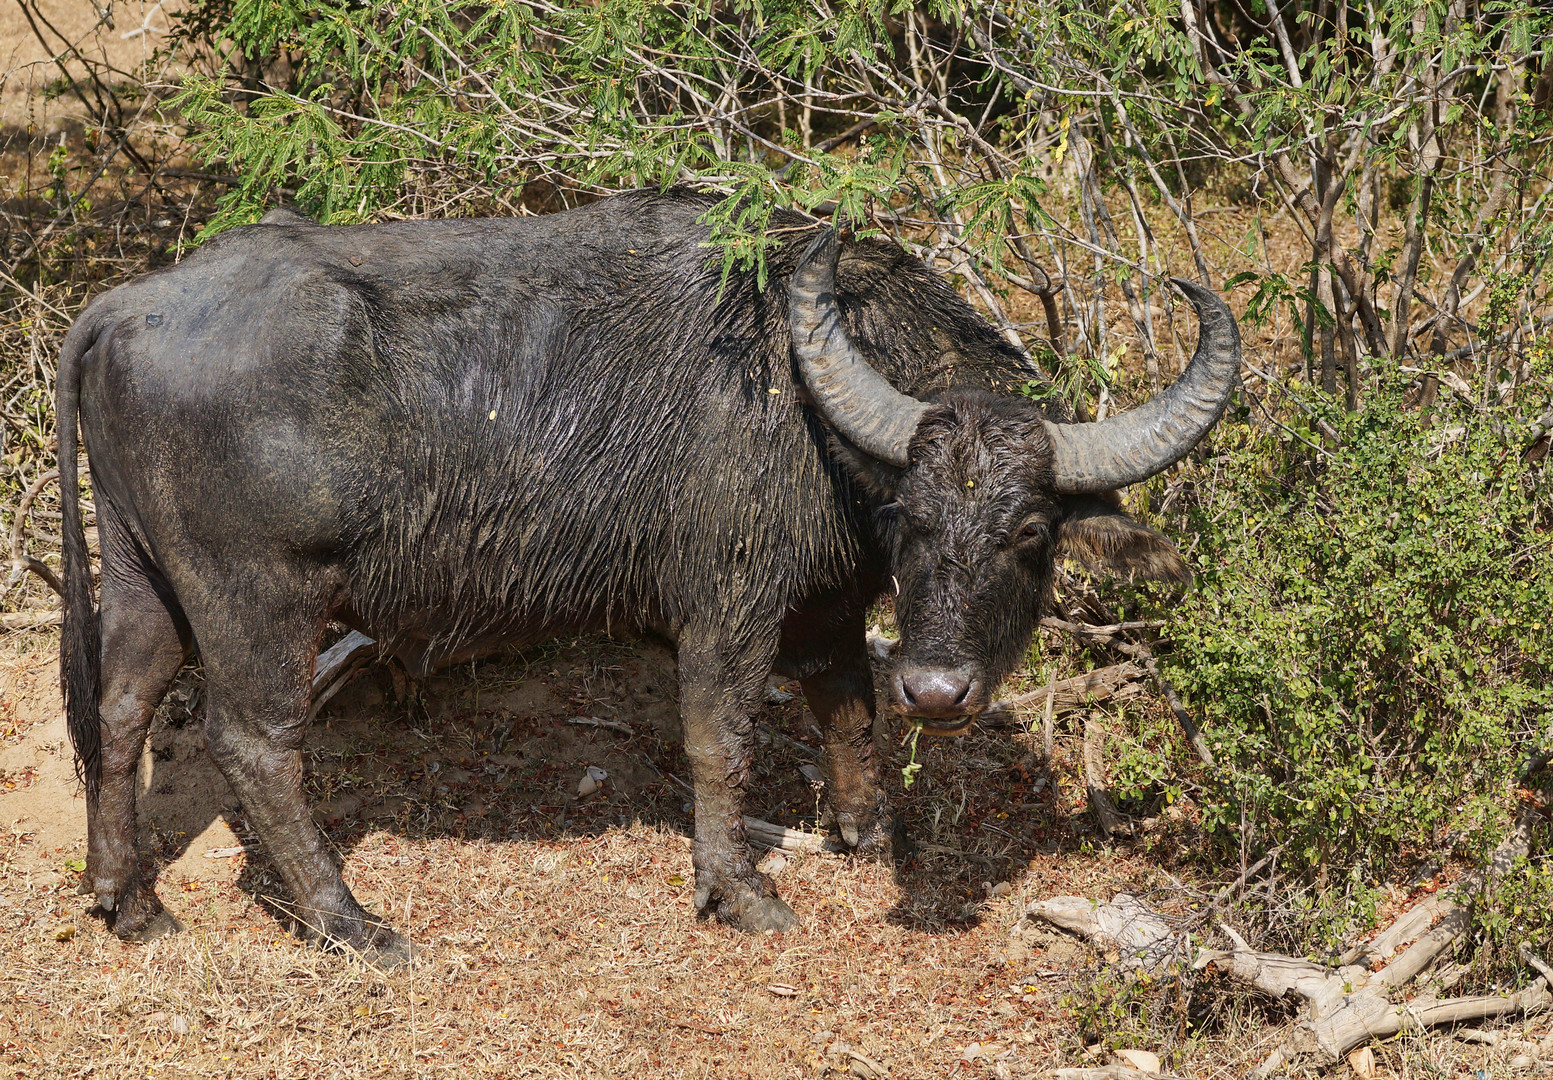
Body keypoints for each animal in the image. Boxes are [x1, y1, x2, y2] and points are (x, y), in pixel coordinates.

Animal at [54, 185, 1236, 963]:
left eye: (1029, 530)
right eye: (910, 511)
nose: (941, 691)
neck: (805, 413)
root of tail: (124, 306)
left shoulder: (823, 609)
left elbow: (849, 705)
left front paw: (865, 834)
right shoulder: (728, 609)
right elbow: (721, 742)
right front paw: (741, 893)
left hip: (144, 574)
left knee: (118, 707)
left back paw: (128, 901)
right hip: (258, 600)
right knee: (255, 744)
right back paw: (350, 921)